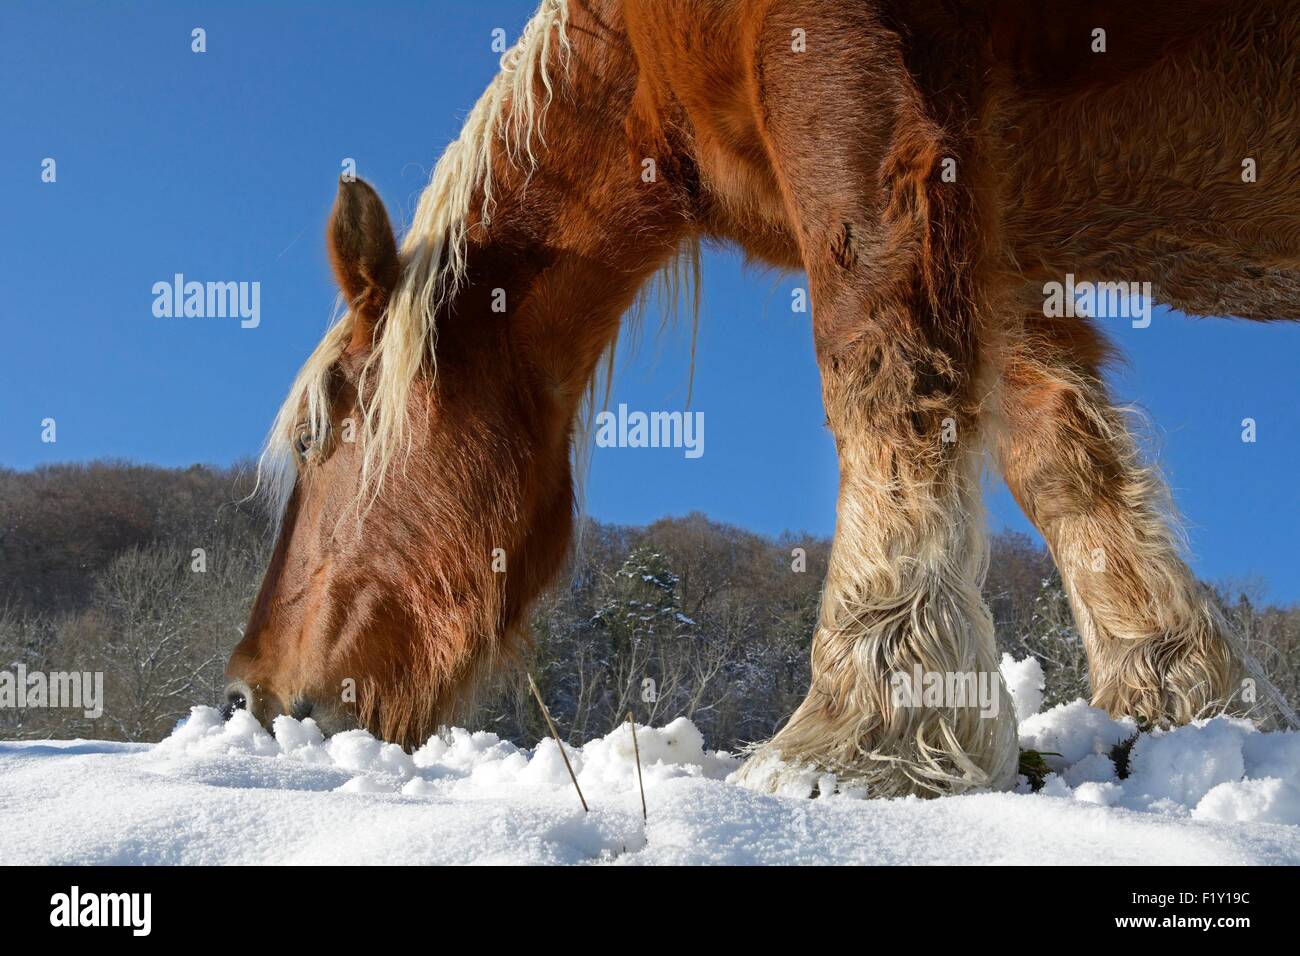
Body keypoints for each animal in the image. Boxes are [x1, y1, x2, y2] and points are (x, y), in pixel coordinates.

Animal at [224, 0, 1299, 797]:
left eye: (318, 436)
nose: (258, 692)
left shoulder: (853, 93)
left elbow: (887, 378)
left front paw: (860, 729)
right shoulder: (1001, 249)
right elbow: (1062, 458)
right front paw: (1174, 701)